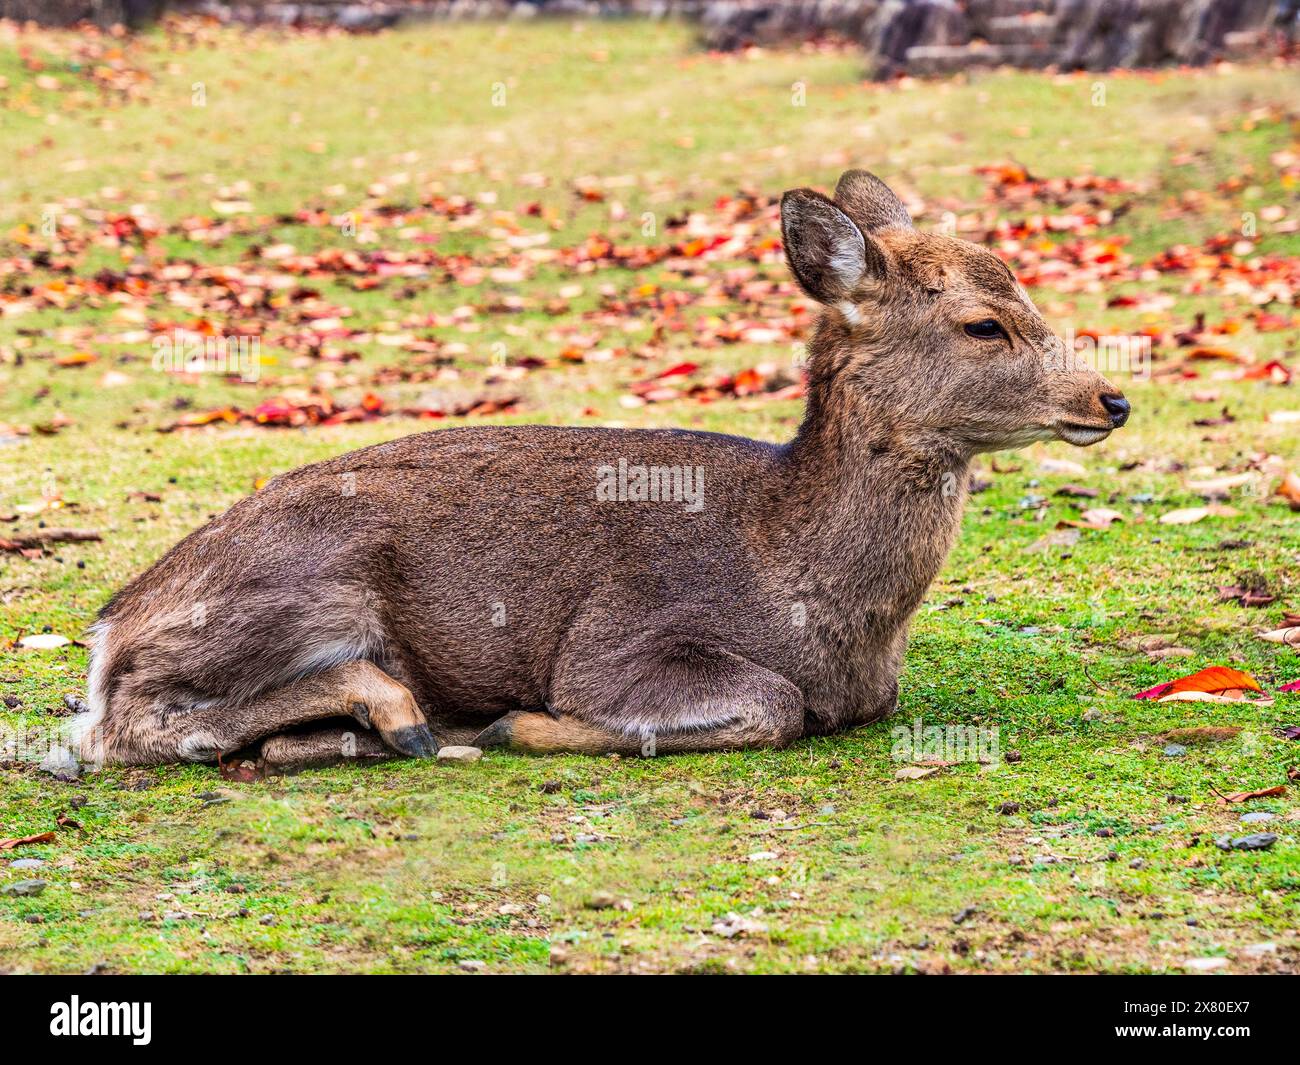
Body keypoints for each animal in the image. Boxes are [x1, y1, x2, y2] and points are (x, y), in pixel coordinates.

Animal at [69, 170, 1129, 772]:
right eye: (984, 324)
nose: (1110, 398)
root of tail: (109, 621)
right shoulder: (619, 640)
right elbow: (773, 705)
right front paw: (517, 725)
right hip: (303, 591)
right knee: (115, 727)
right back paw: (398, 714)